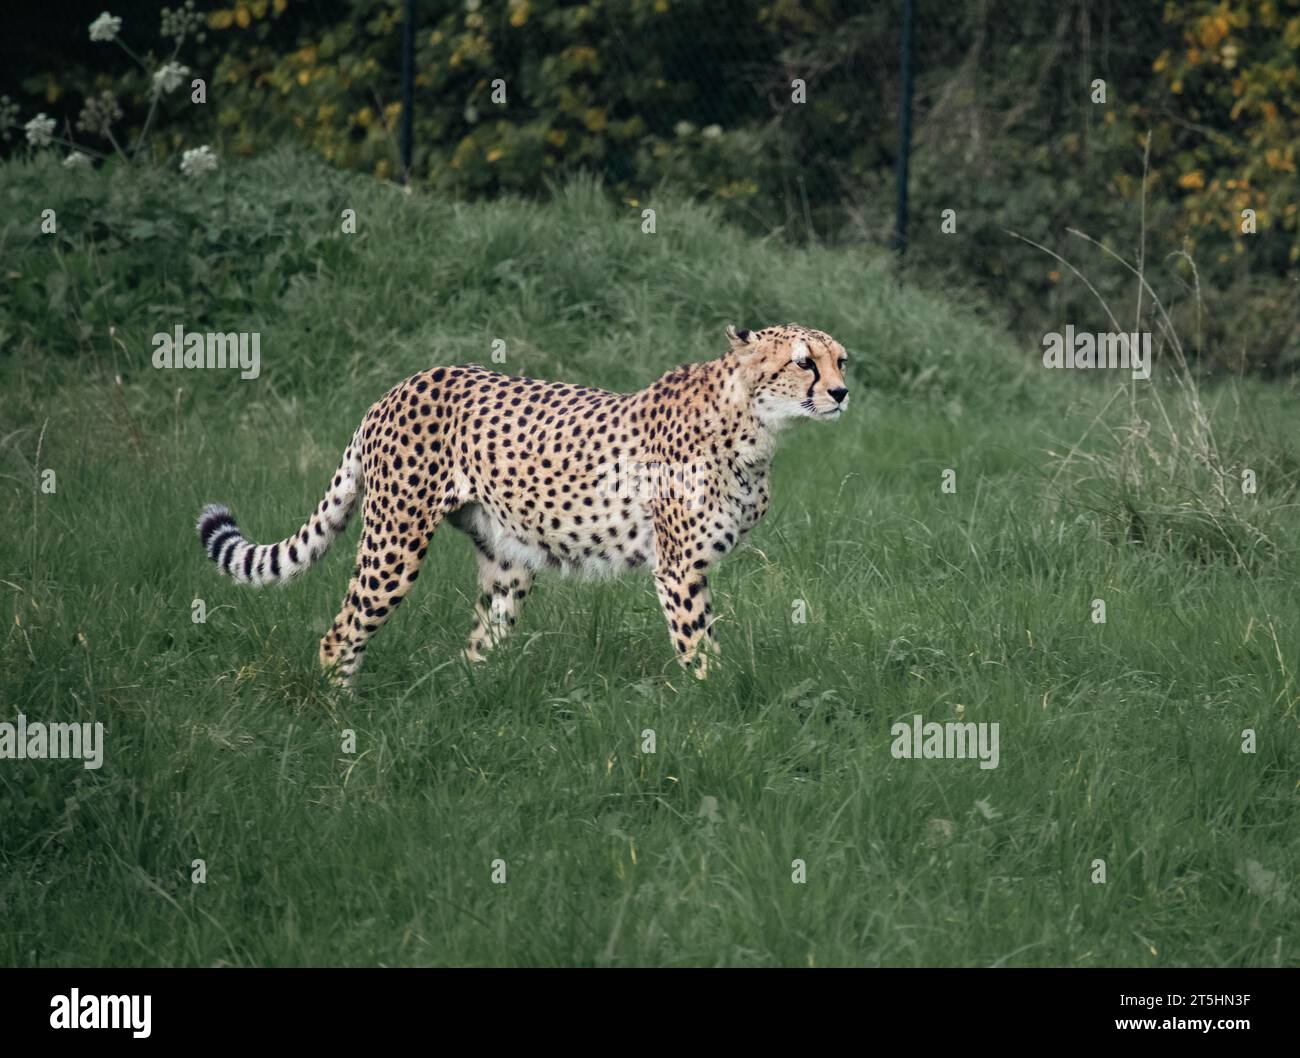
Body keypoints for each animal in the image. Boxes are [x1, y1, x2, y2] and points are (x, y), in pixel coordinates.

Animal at [195, 323, 849, 688]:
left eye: (841, 359)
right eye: (803, 361)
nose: (842, 392)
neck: (756, 427)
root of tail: (398, 387)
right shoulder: (679, 566)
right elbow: (697, 646)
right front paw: (712, 703)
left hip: (509, 561)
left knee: (475, 648)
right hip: (394, 544)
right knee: (341, 632)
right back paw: (340, 716)